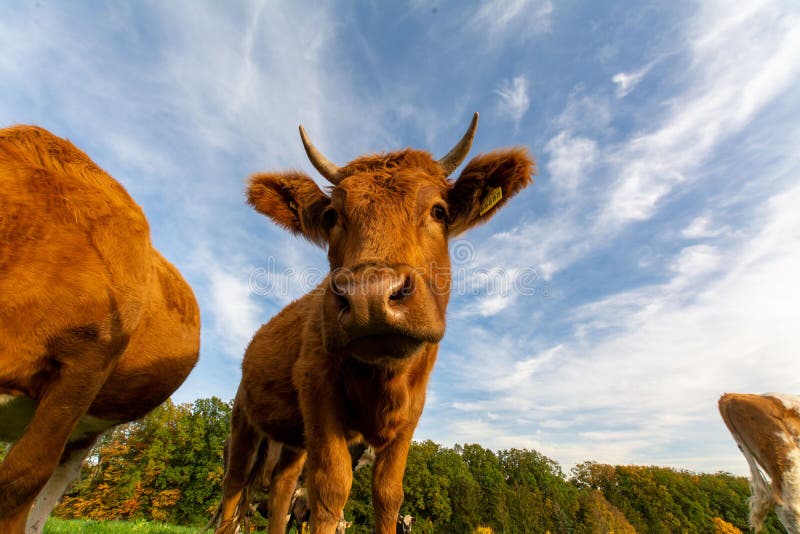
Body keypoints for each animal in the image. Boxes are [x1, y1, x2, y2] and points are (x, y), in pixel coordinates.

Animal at [214, 113, 534, 534]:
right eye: (332, 216)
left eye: (439, 211)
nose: (370, 296)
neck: (384, 378)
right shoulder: (318, 391)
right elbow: (330, 491)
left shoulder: (411, 414)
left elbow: (388, 495)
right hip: (242, 419)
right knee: (234, 486)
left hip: (293, 442)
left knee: (281, 489)